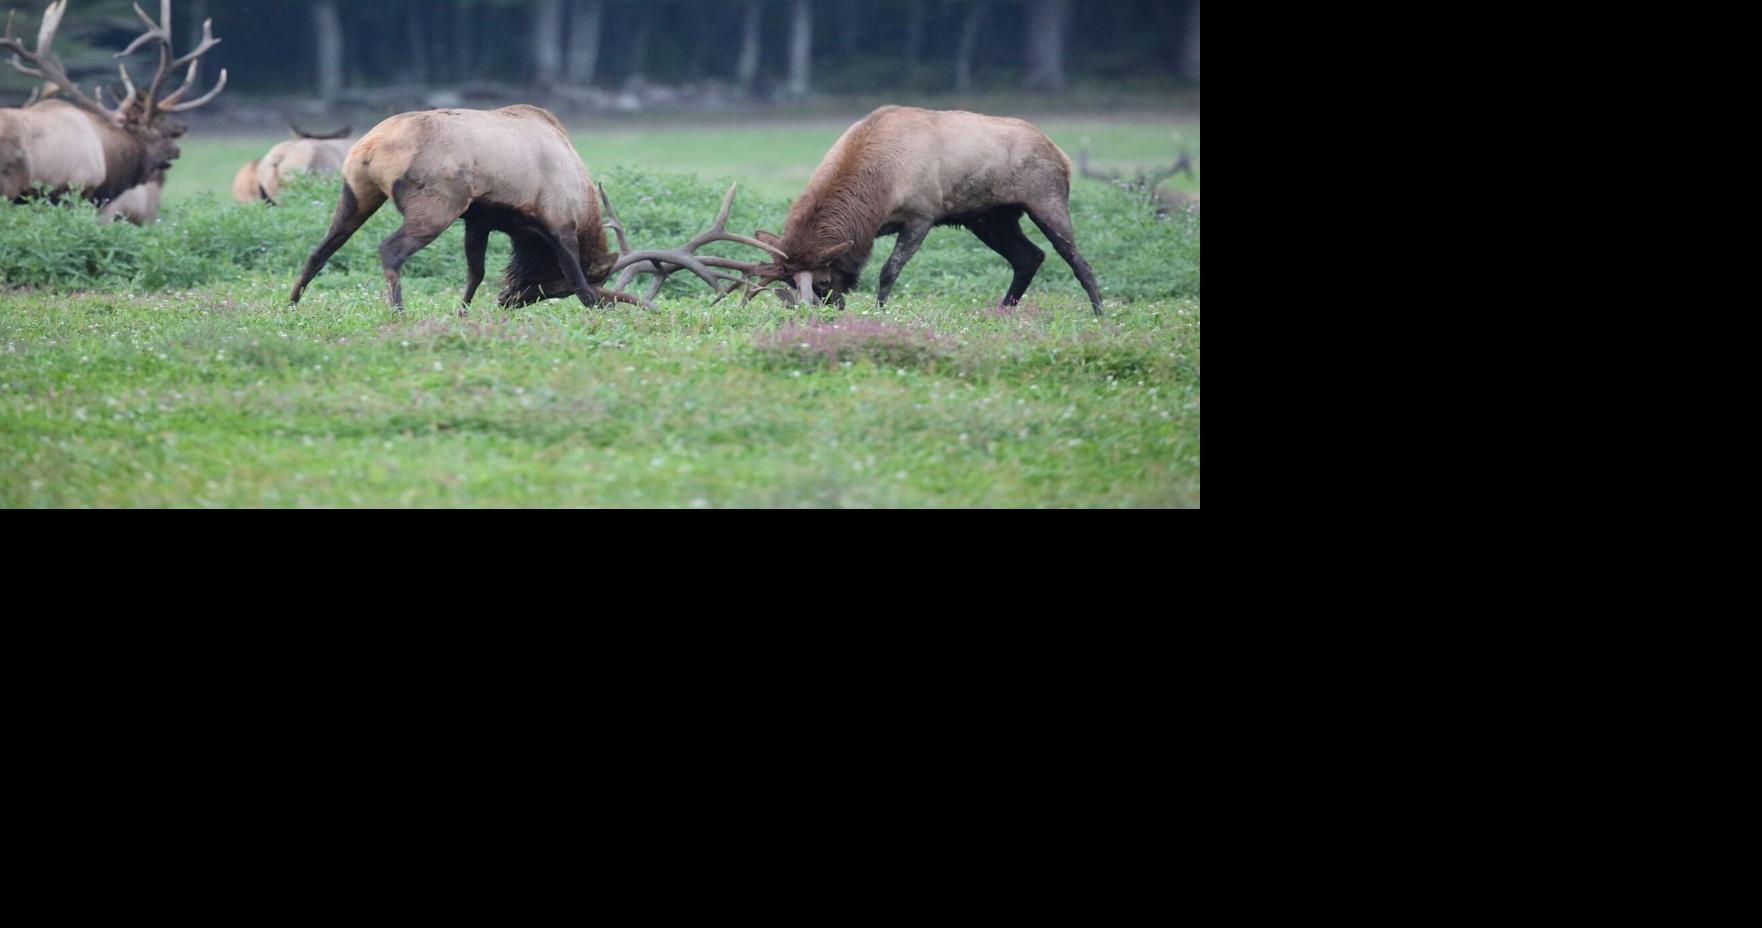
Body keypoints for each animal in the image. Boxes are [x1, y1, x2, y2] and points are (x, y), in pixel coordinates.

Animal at [288, 104, 785, 315]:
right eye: (553, 287)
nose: (510, 302)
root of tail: (374, 147)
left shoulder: (481, 218)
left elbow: (475, 273)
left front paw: (463, 313)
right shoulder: (555, 221)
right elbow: (584, 286)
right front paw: (602, 311)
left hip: (356, 193)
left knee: (321, 248)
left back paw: (292, 303)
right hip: (436, 202)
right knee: (390, 250)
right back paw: (398, 312)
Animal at [743, 106, 1104, 316]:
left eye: (822, 280)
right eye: (787, 282)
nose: (835, 309)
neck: (880, 187)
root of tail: (1061, 153)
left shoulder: (922, 214)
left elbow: (889, 270)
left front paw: (881, 312)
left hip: (1047, 200)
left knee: (1077, 260)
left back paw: (1099, 313)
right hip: (990, 218)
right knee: (1029, 256)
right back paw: (1004, 311)